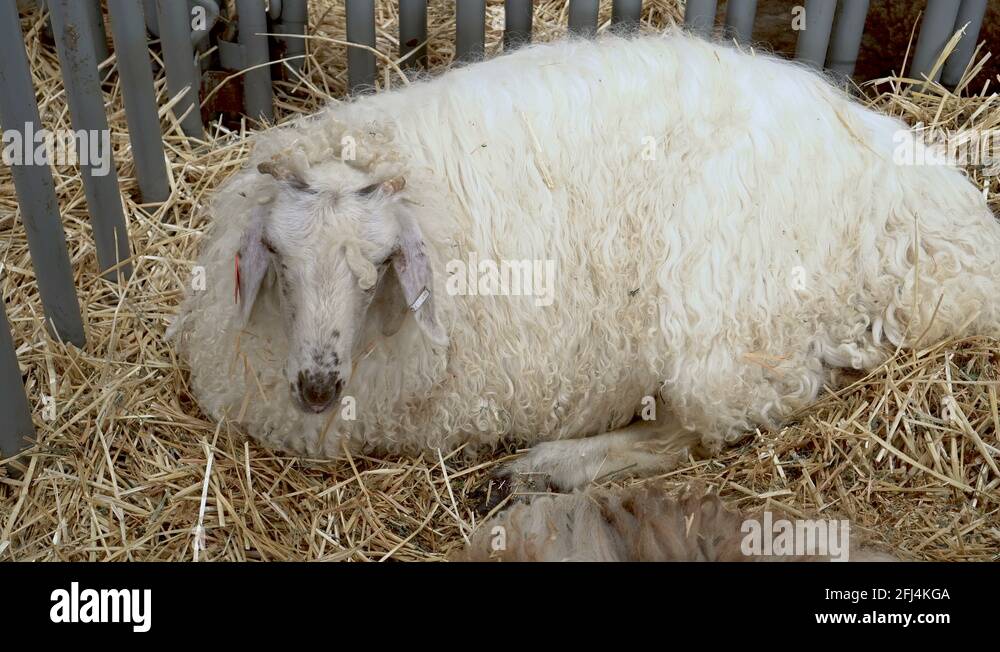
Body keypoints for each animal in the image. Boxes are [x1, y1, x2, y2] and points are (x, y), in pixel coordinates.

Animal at [171, 28, 1000, 494]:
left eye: (380, 264)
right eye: (277, 255)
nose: (317, 387)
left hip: (731, 332)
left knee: (699, 432)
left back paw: (548, 467)